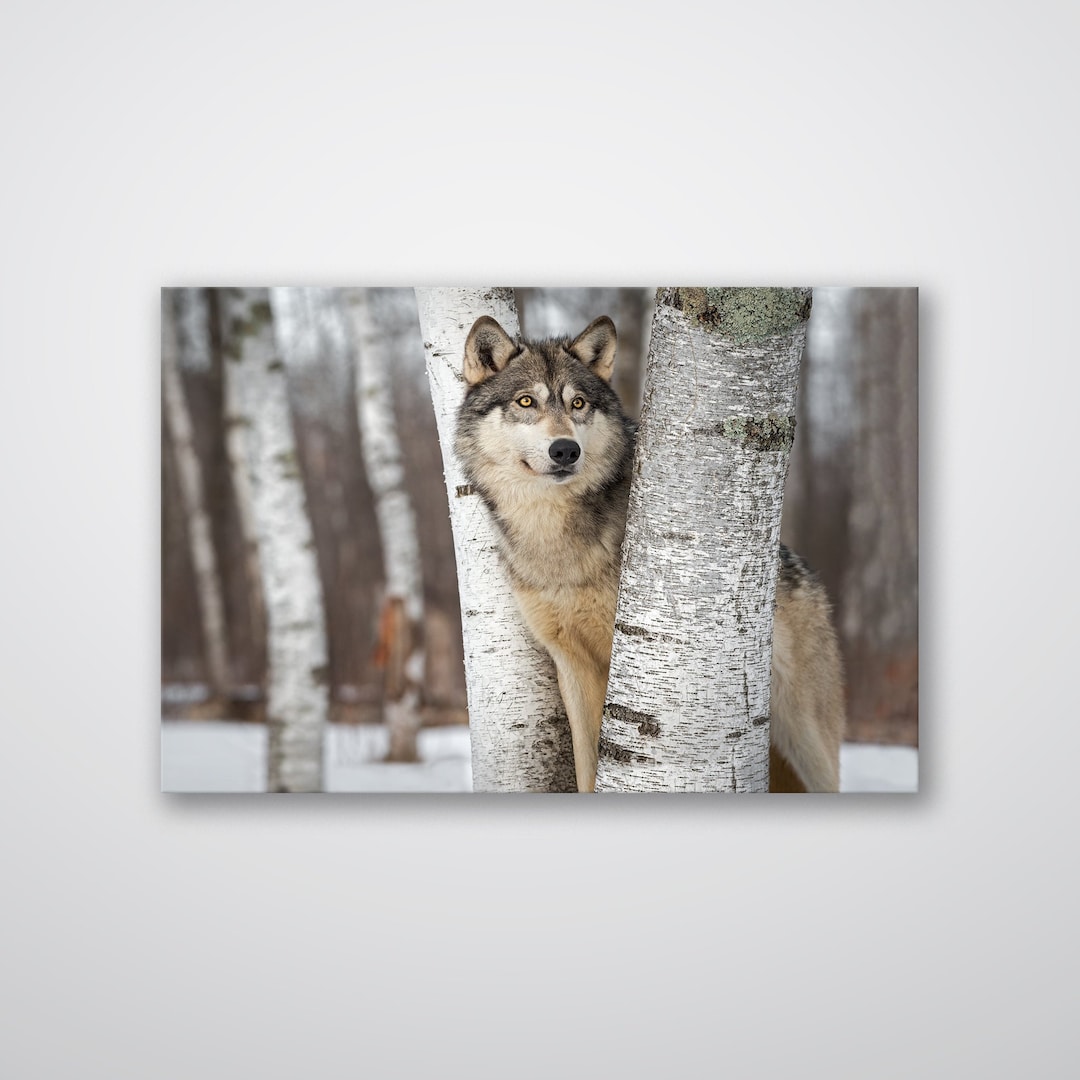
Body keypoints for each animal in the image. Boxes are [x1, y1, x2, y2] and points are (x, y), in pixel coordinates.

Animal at [455, 313, 845, 793]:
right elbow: (587, 767)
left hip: (807, 741)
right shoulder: (572, 665)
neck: (555, 540)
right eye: (526, 401)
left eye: (578, 403)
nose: (565, 449)